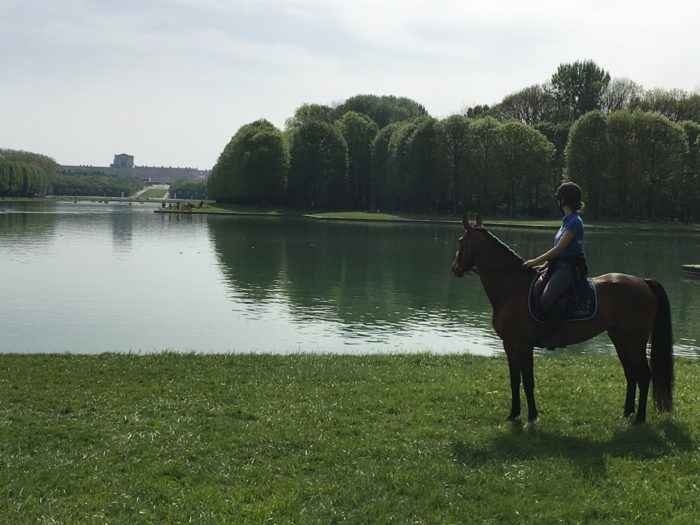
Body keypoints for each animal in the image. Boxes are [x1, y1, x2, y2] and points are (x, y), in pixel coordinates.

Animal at [451, 215, 673, 425]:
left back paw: (640, 418)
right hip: (620, 339)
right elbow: (514, 380)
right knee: (630, 373)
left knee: (643, 375)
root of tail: (643, 282)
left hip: (635, 341)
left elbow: (528, 381)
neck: (513, 289)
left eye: (461, 241)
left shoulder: (524, 345)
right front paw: (513, 414)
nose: (455, 268)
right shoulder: (509, 344)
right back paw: (627, 412)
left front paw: (532, 417)